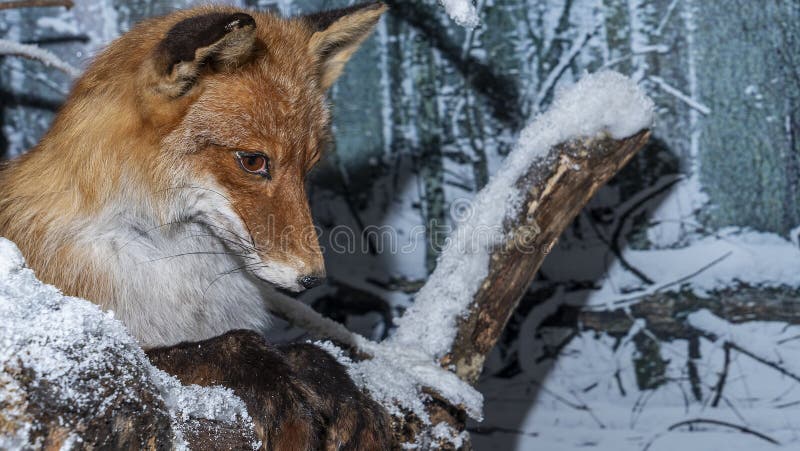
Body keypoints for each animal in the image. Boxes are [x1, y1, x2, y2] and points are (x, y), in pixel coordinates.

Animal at [0, 2, 392, 449]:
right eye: (253, 161)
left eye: (308, 168)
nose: (314, 279)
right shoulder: (122, 338)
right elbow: (221, 345)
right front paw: (273, 381)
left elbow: (308, 350)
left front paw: (340, 388)